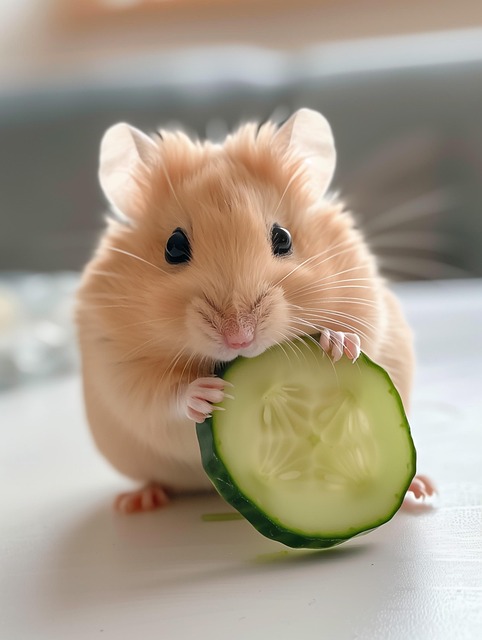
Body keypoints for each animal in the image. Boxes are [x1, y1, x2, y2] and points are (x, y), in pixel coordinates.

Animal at [76, 108, 435, 513]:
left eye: (283, 238)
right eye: (173, 246)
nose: (239, 338)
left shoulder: (364, 300)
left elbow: (361, 334)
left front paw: (339, 344)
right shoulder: (115, 363)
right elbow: (158, 398)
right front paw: (205, 394)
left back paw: (421, 490)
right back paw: (137, 501)